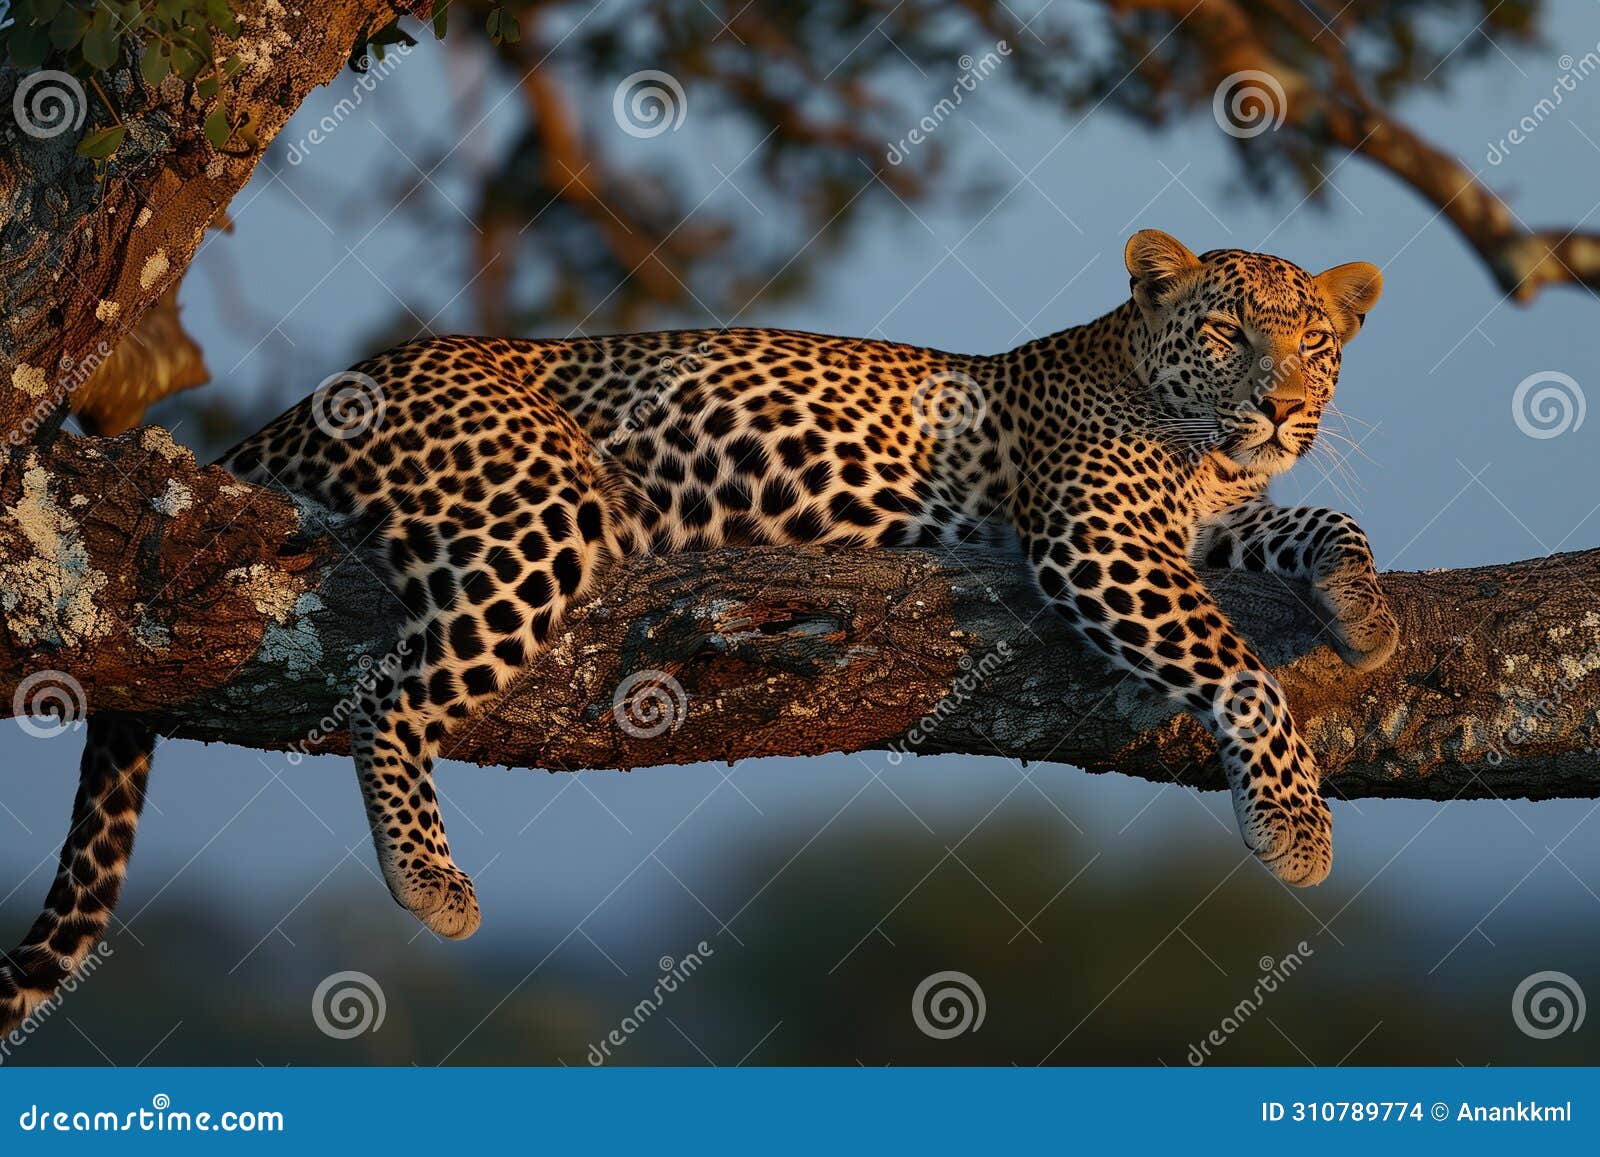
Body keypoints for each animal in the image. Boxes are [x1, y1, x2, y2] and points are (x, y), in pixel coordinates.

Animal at [2, 230, 1393, 1026]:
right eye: (1227, 332)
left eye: (1314, 342)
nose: (1283, 403)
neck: (1188, 436)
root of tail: (326, 390)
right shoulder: (1101, 536)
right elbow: (1238, 667)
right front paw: (1295, 823)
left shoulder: (1205, 521)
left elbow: (1326, 516)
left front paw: (1366, 615)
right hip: (539, 510)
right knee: (392, 696)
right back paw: (429, 881)